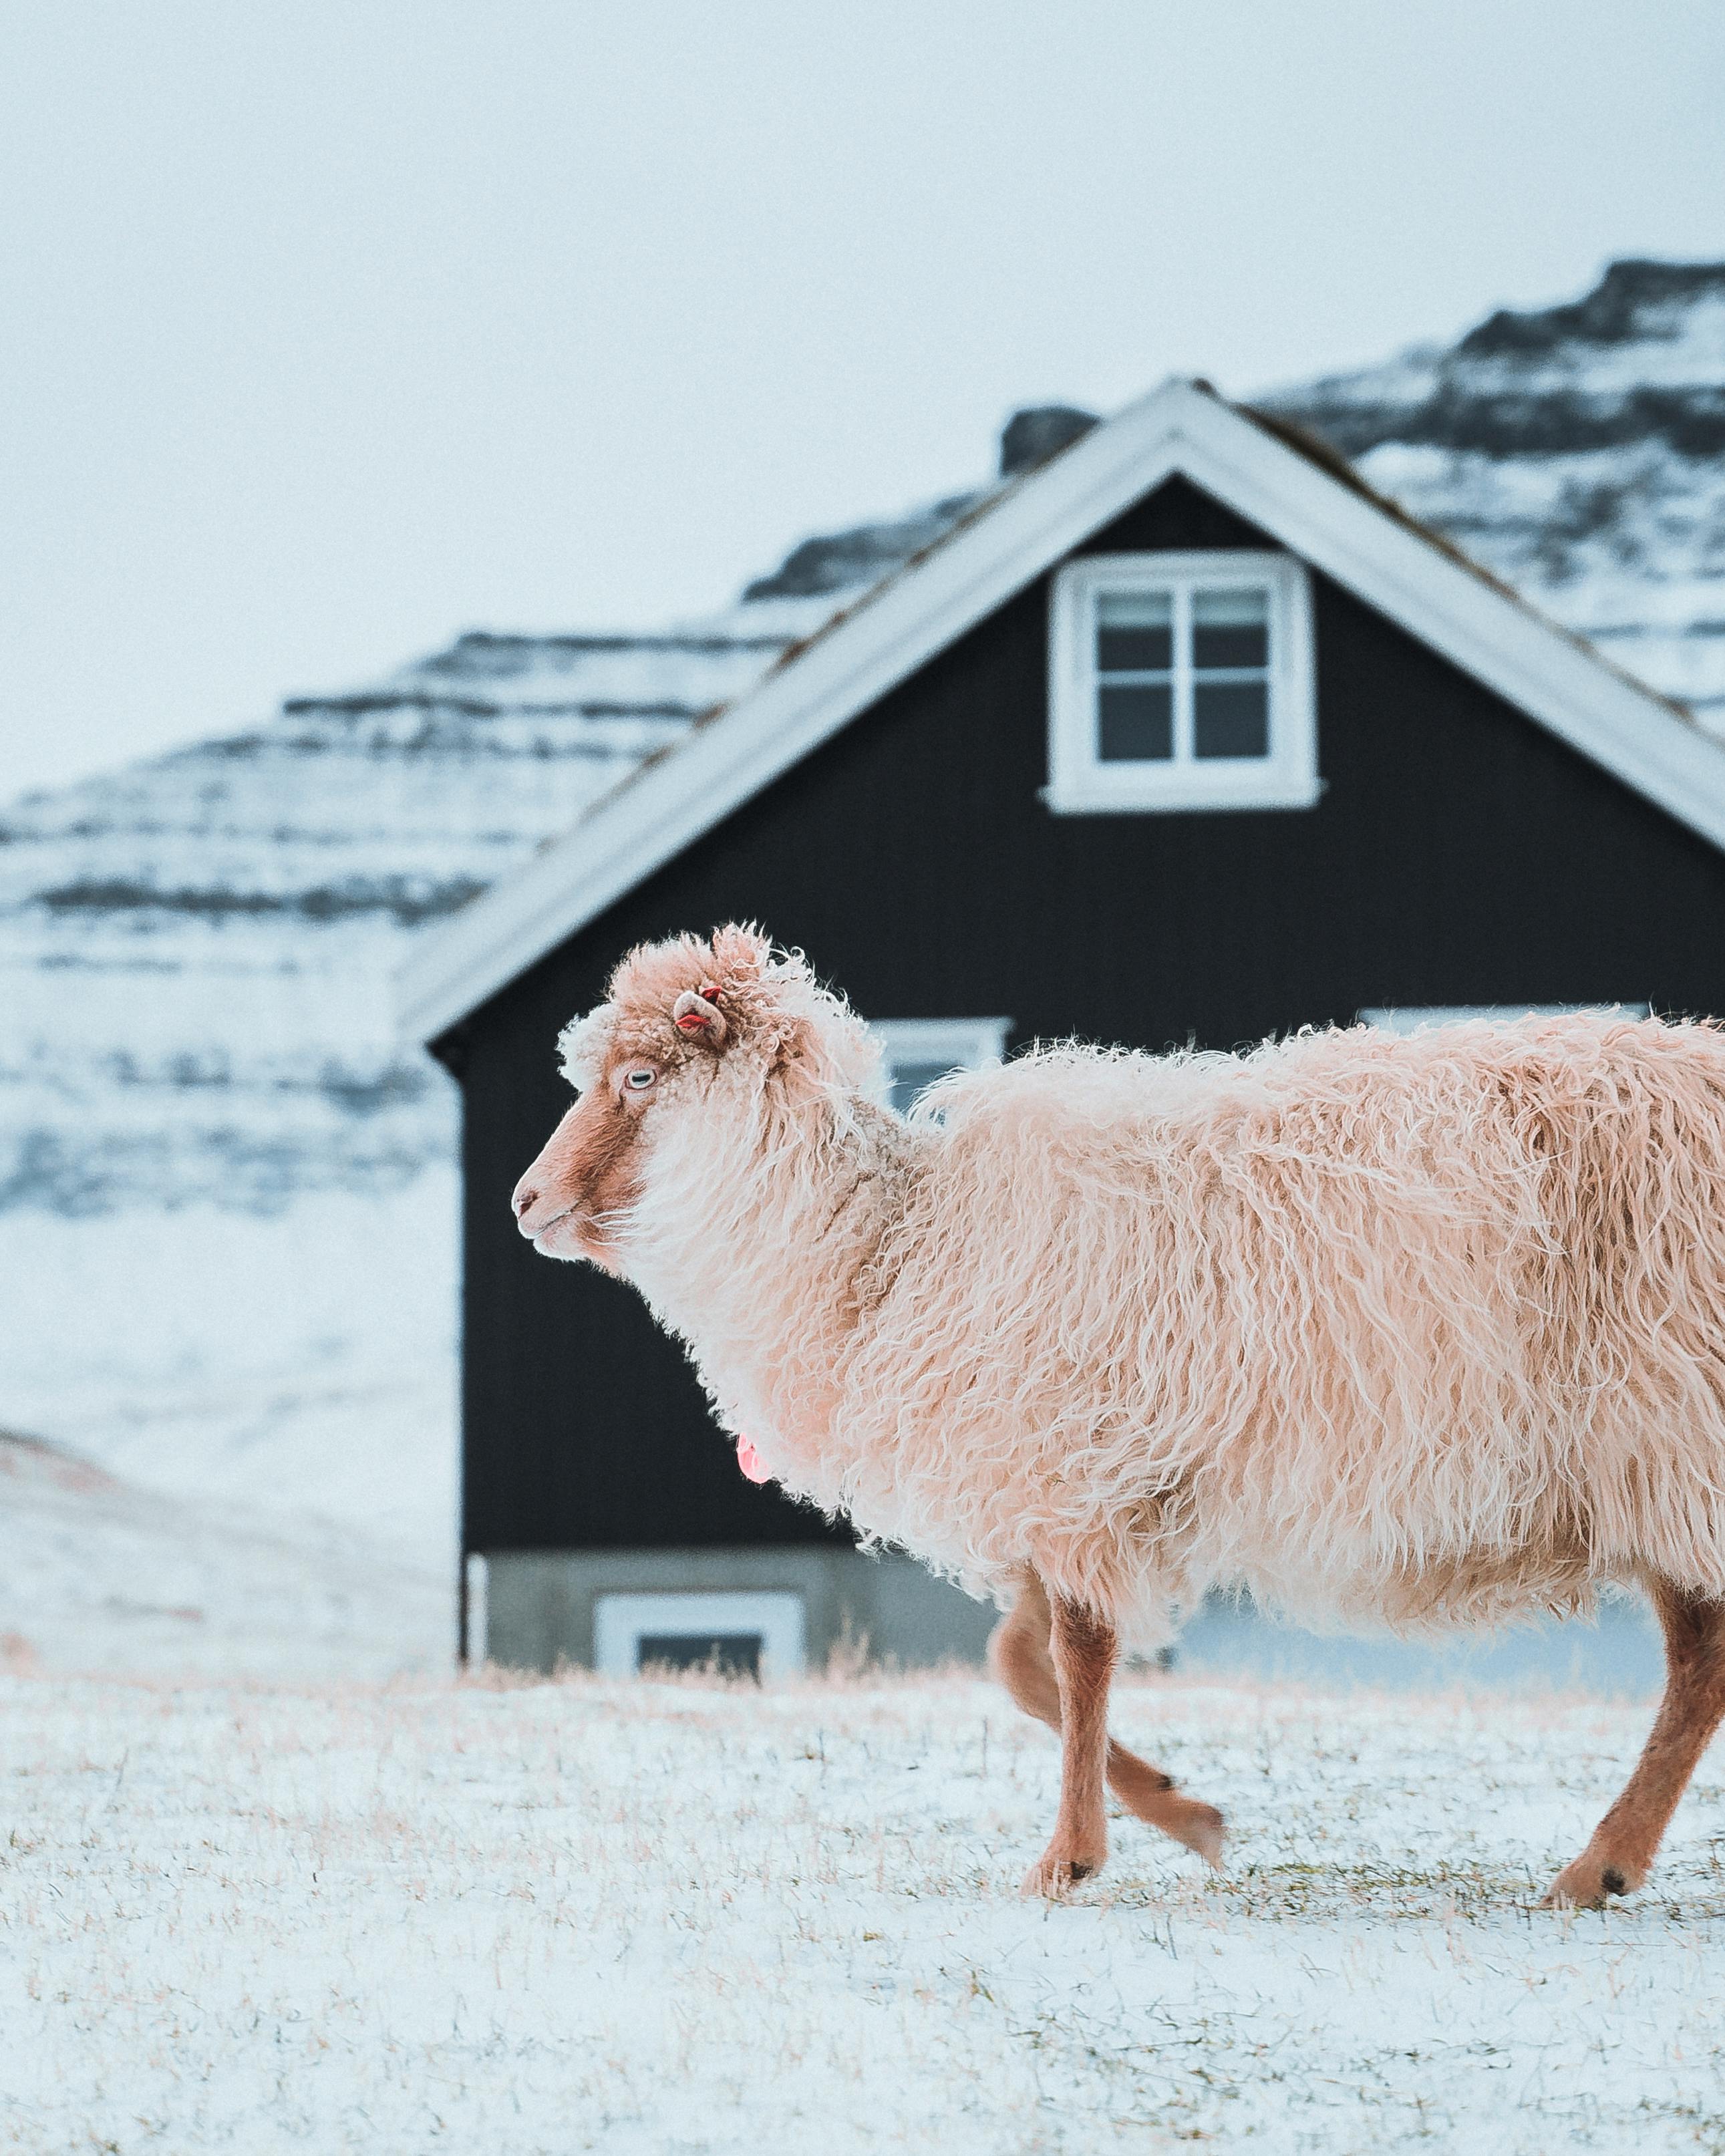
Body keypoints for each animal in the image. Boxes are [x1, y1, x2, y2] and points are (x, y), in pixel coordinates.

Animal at [511, 924, 1725, 1906]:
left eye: (636, 1074)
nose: (524, 1203)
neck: (890, 1254)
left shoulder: (1072, 1463)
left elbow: (1076, 1658)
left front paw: (1072, 1857)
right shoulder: (1058, 1482)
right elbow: (1020, 1663)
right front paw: (1186, 1810)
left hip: (1669, 1430)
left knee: (1697, 1663)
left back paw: (1597, 1865)